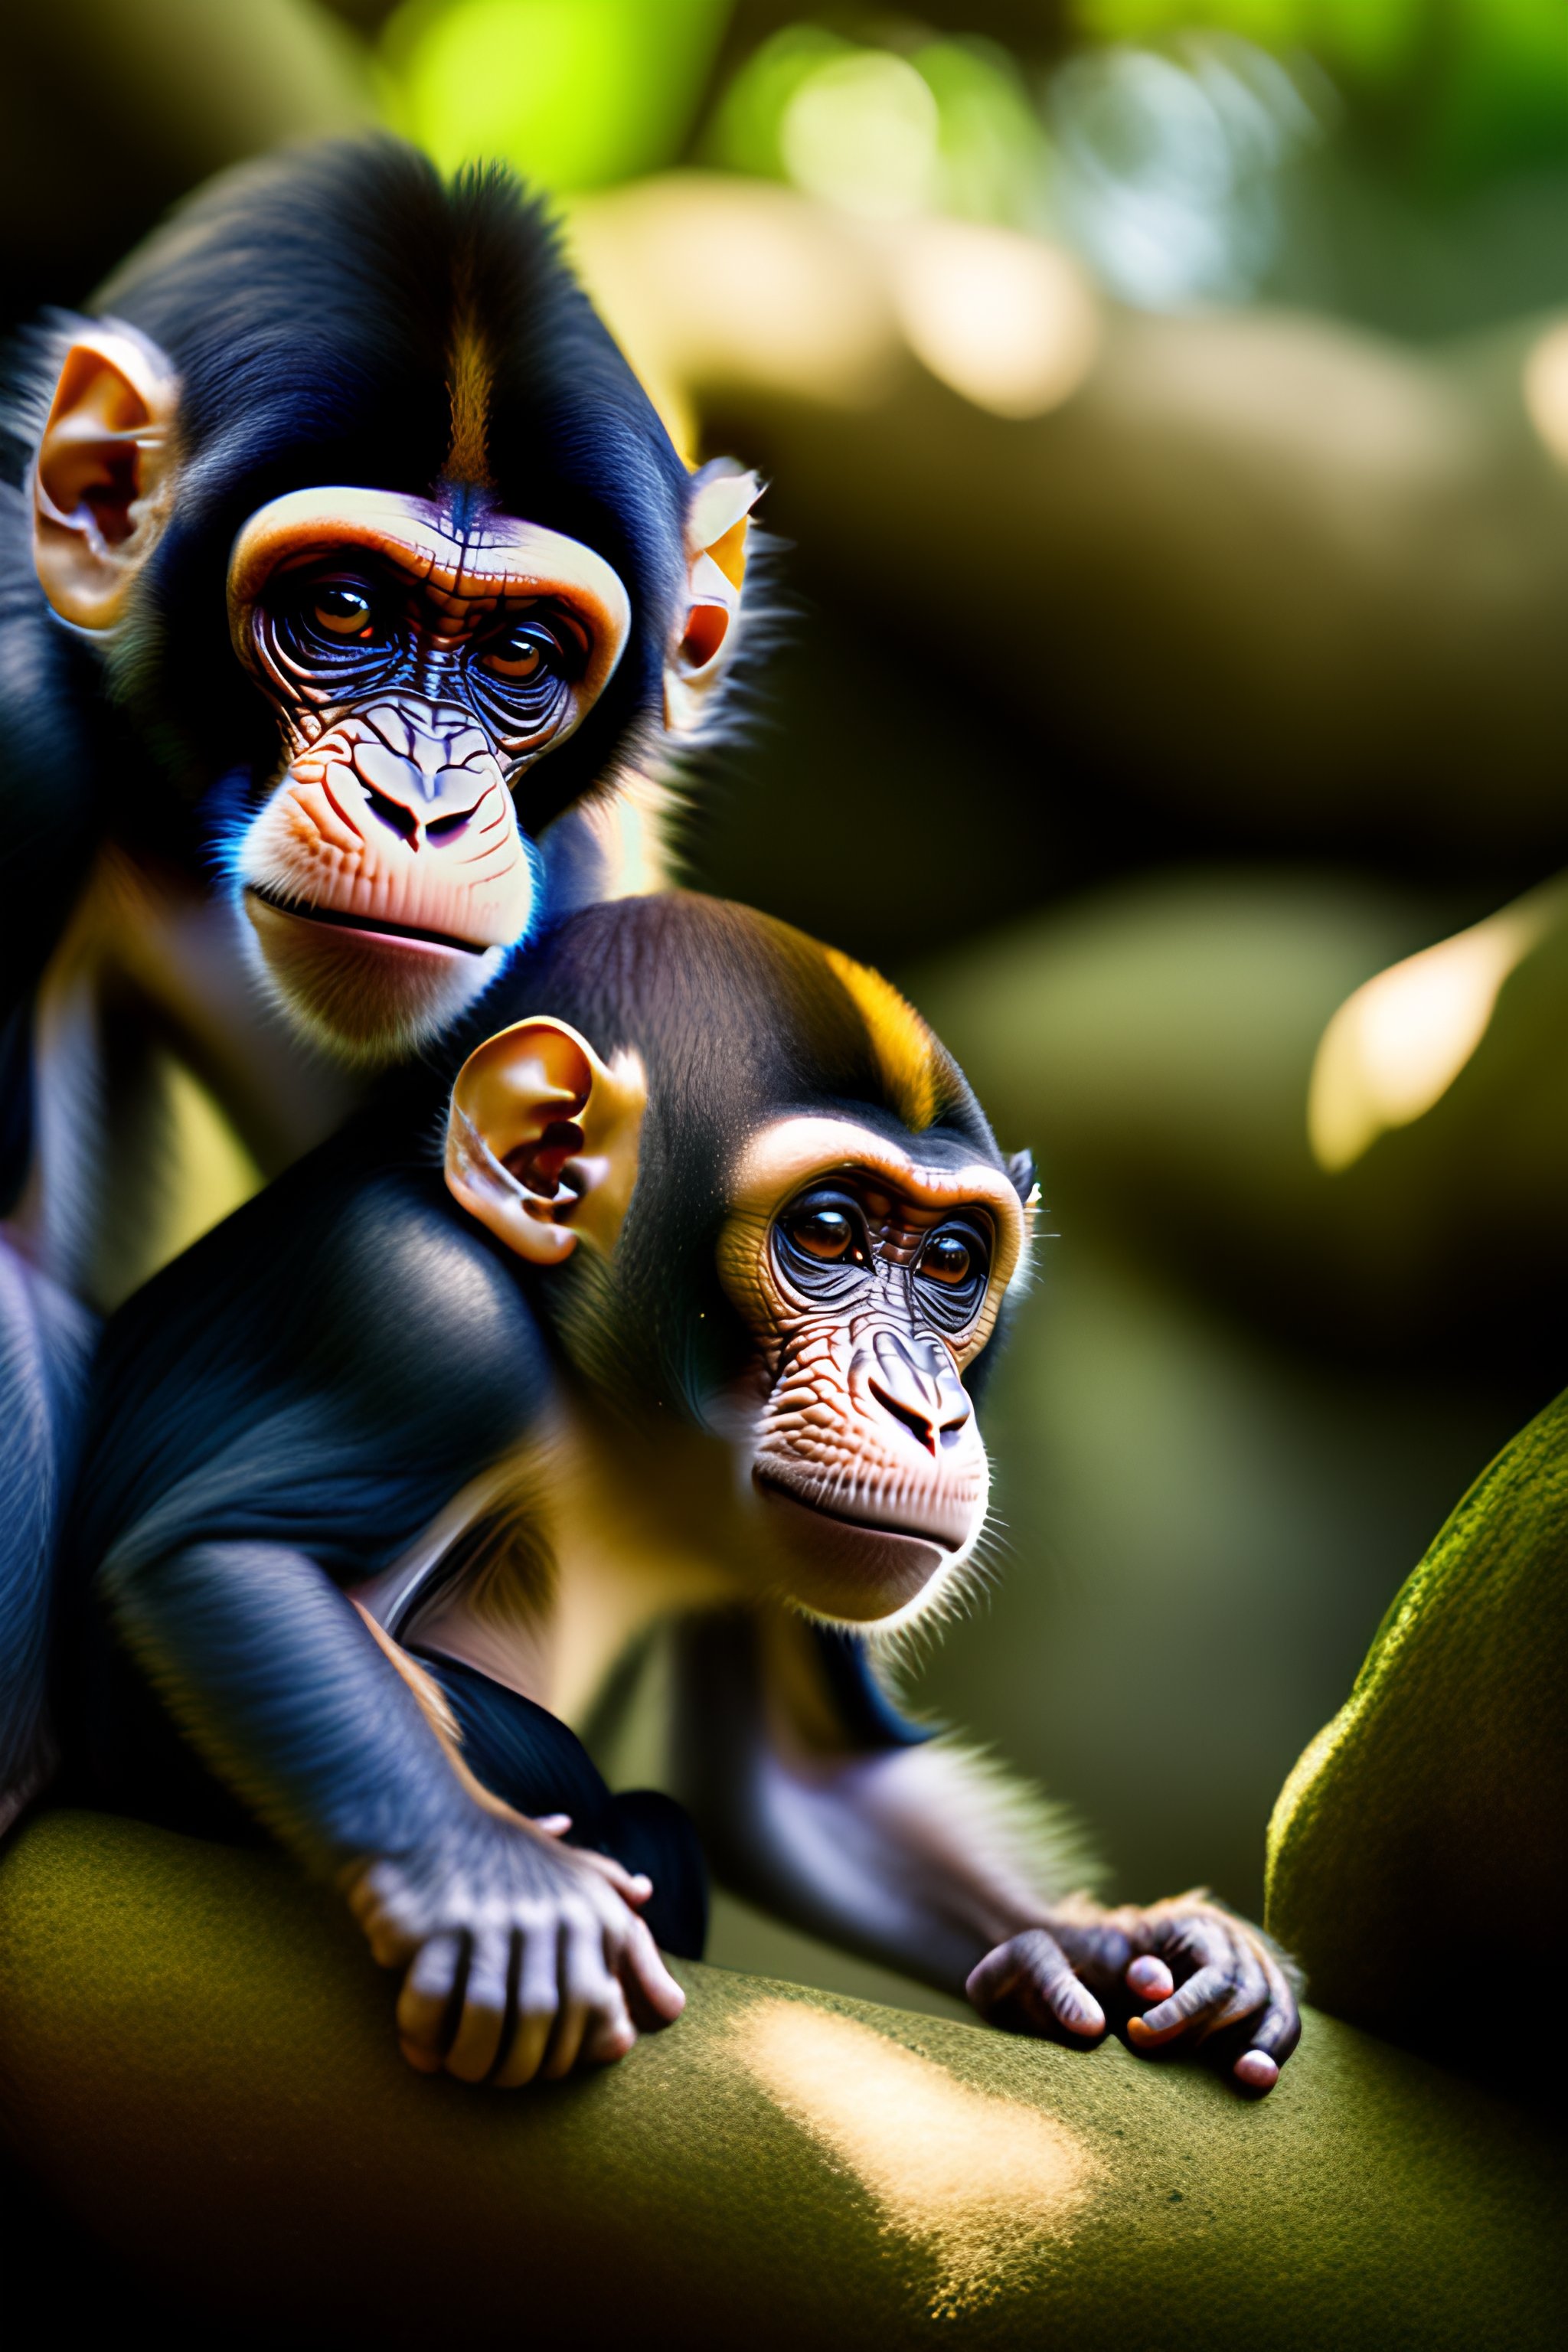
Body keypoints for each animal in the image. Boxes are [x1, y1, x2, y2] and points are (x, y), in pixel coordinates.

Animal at [54, 891, 1298, 2094]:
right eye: (829, 1231)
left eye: (951, 1259)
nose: (925, 1406)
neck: (608, 1396)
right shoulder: (414, 1309)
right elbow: (227, 1563)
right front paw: (492, 1881)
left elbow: (803, 1785)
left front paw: (1104, 1942)